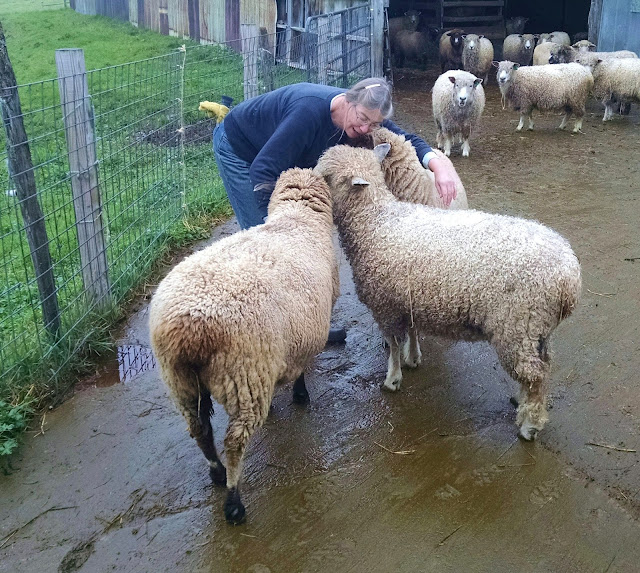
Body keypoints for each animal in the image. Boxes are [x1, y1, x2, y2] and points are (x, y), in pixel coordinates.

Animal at [149, 168, 338, 525]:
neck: (296, 220)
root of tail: (188, 328)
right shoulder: (302, 335)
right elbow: (300, 369)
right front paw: (300, 395)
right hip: (245, 374)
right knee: (234, 441)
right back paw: (234, 502)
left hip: (181, 382)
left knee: (200, 430)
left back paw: (216, 472)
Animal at [314, 144, 581, 441]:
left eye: (326, 176)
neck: (375, 221)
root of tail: (569, 277)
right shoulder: (408, 297)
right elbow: (412, 331)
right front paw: (413, 357)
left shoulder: (385, 305)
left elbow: (393, 344)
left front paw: (393, 378)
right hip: (539, 330)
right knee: (543, 369)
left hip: (518, 327)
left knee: (534, 377)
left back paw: (529, 426)